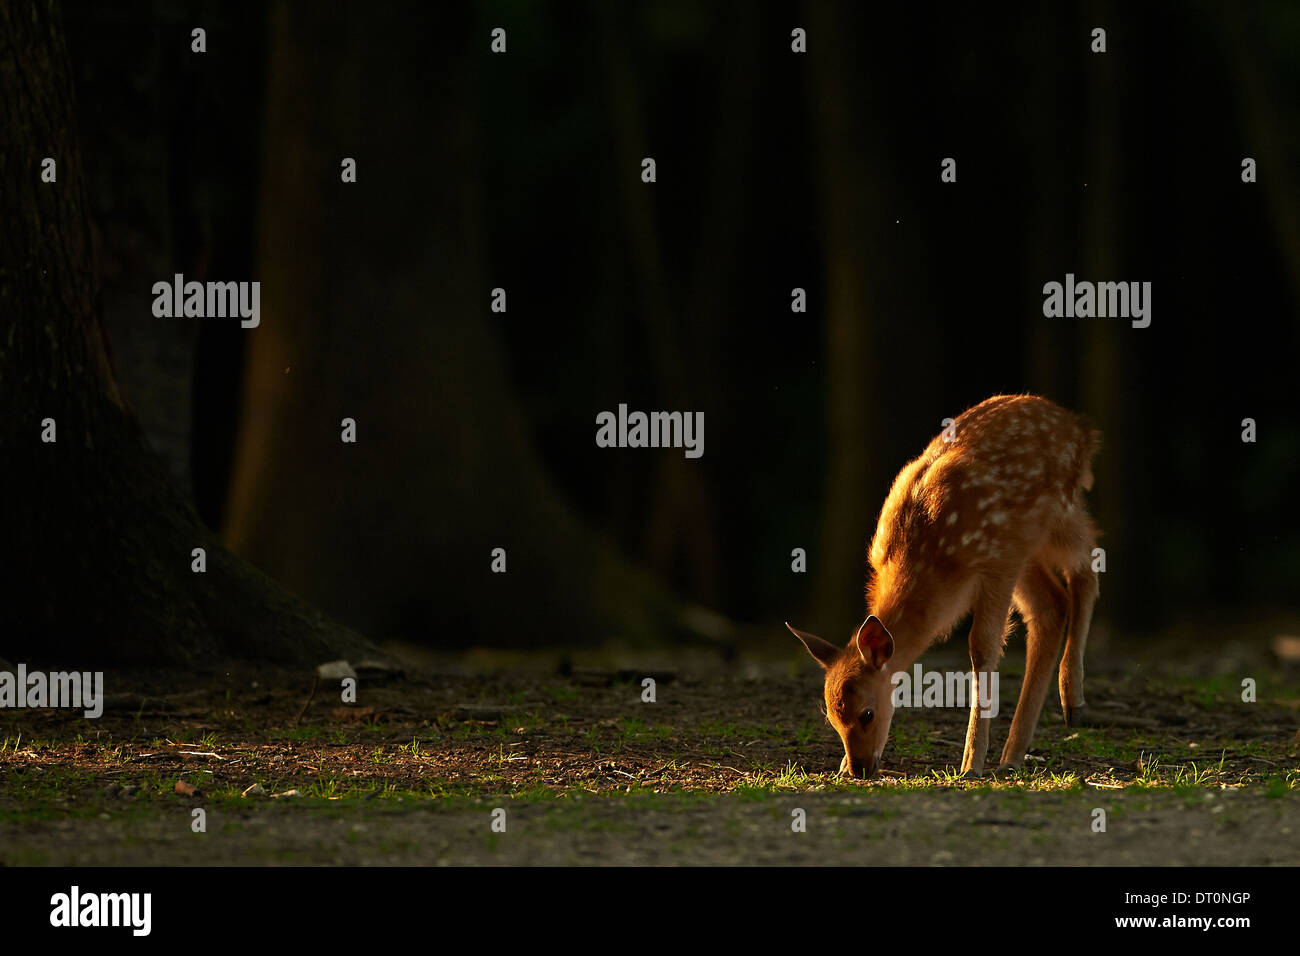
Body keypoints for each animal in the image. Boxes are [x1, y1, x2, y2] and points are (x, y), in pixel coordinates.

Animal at [788, 394, 1101, 779]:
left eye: (867, 713)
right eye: (832, 719)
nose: (859, 768)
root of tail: (1081, 428)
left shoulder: (997, 561)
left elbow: (982, 648)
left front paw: (971, 762)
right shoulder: (1007, 559)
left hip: (1055, 514)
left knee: (1086, 566)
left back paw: (1073, 701)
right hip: (1030, 547)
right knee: (1052, 606)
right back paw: (1013, 753)